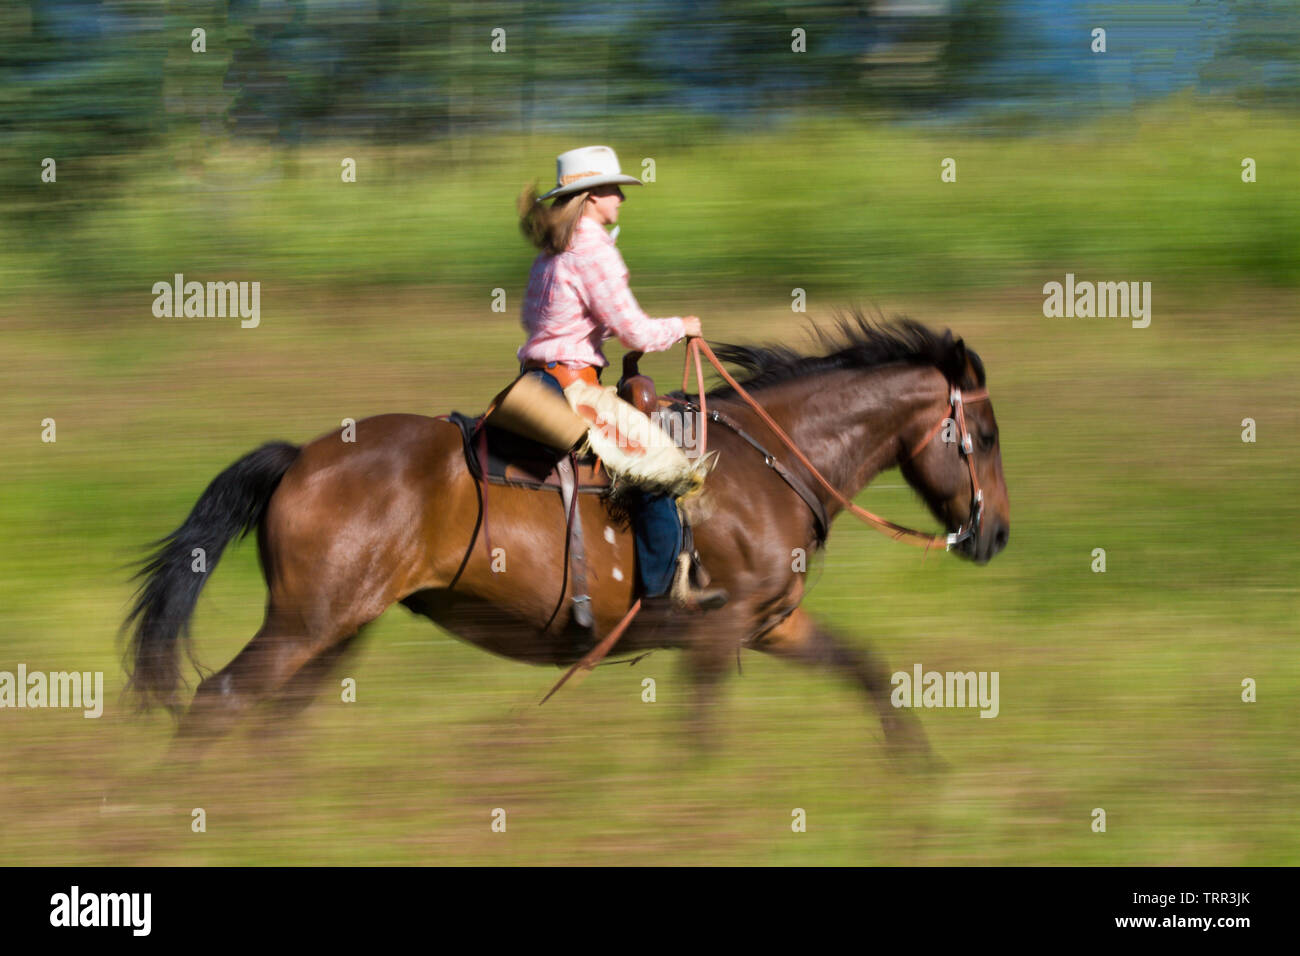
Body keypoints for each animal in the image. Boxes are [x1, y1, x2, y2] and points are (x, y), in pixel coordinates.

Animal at [123, 315, 1009, 763]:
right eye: (989, 434)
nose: (995, 534)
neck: (768, 462)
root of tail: (300, 456)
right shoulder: (718, 630)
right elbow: (699, 736)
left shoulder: (772, 624)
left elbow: (867, 670)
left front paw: (918, 773)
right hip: (307, 622)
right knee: (220, 701)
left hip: (339, 627)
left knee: (274, 722)